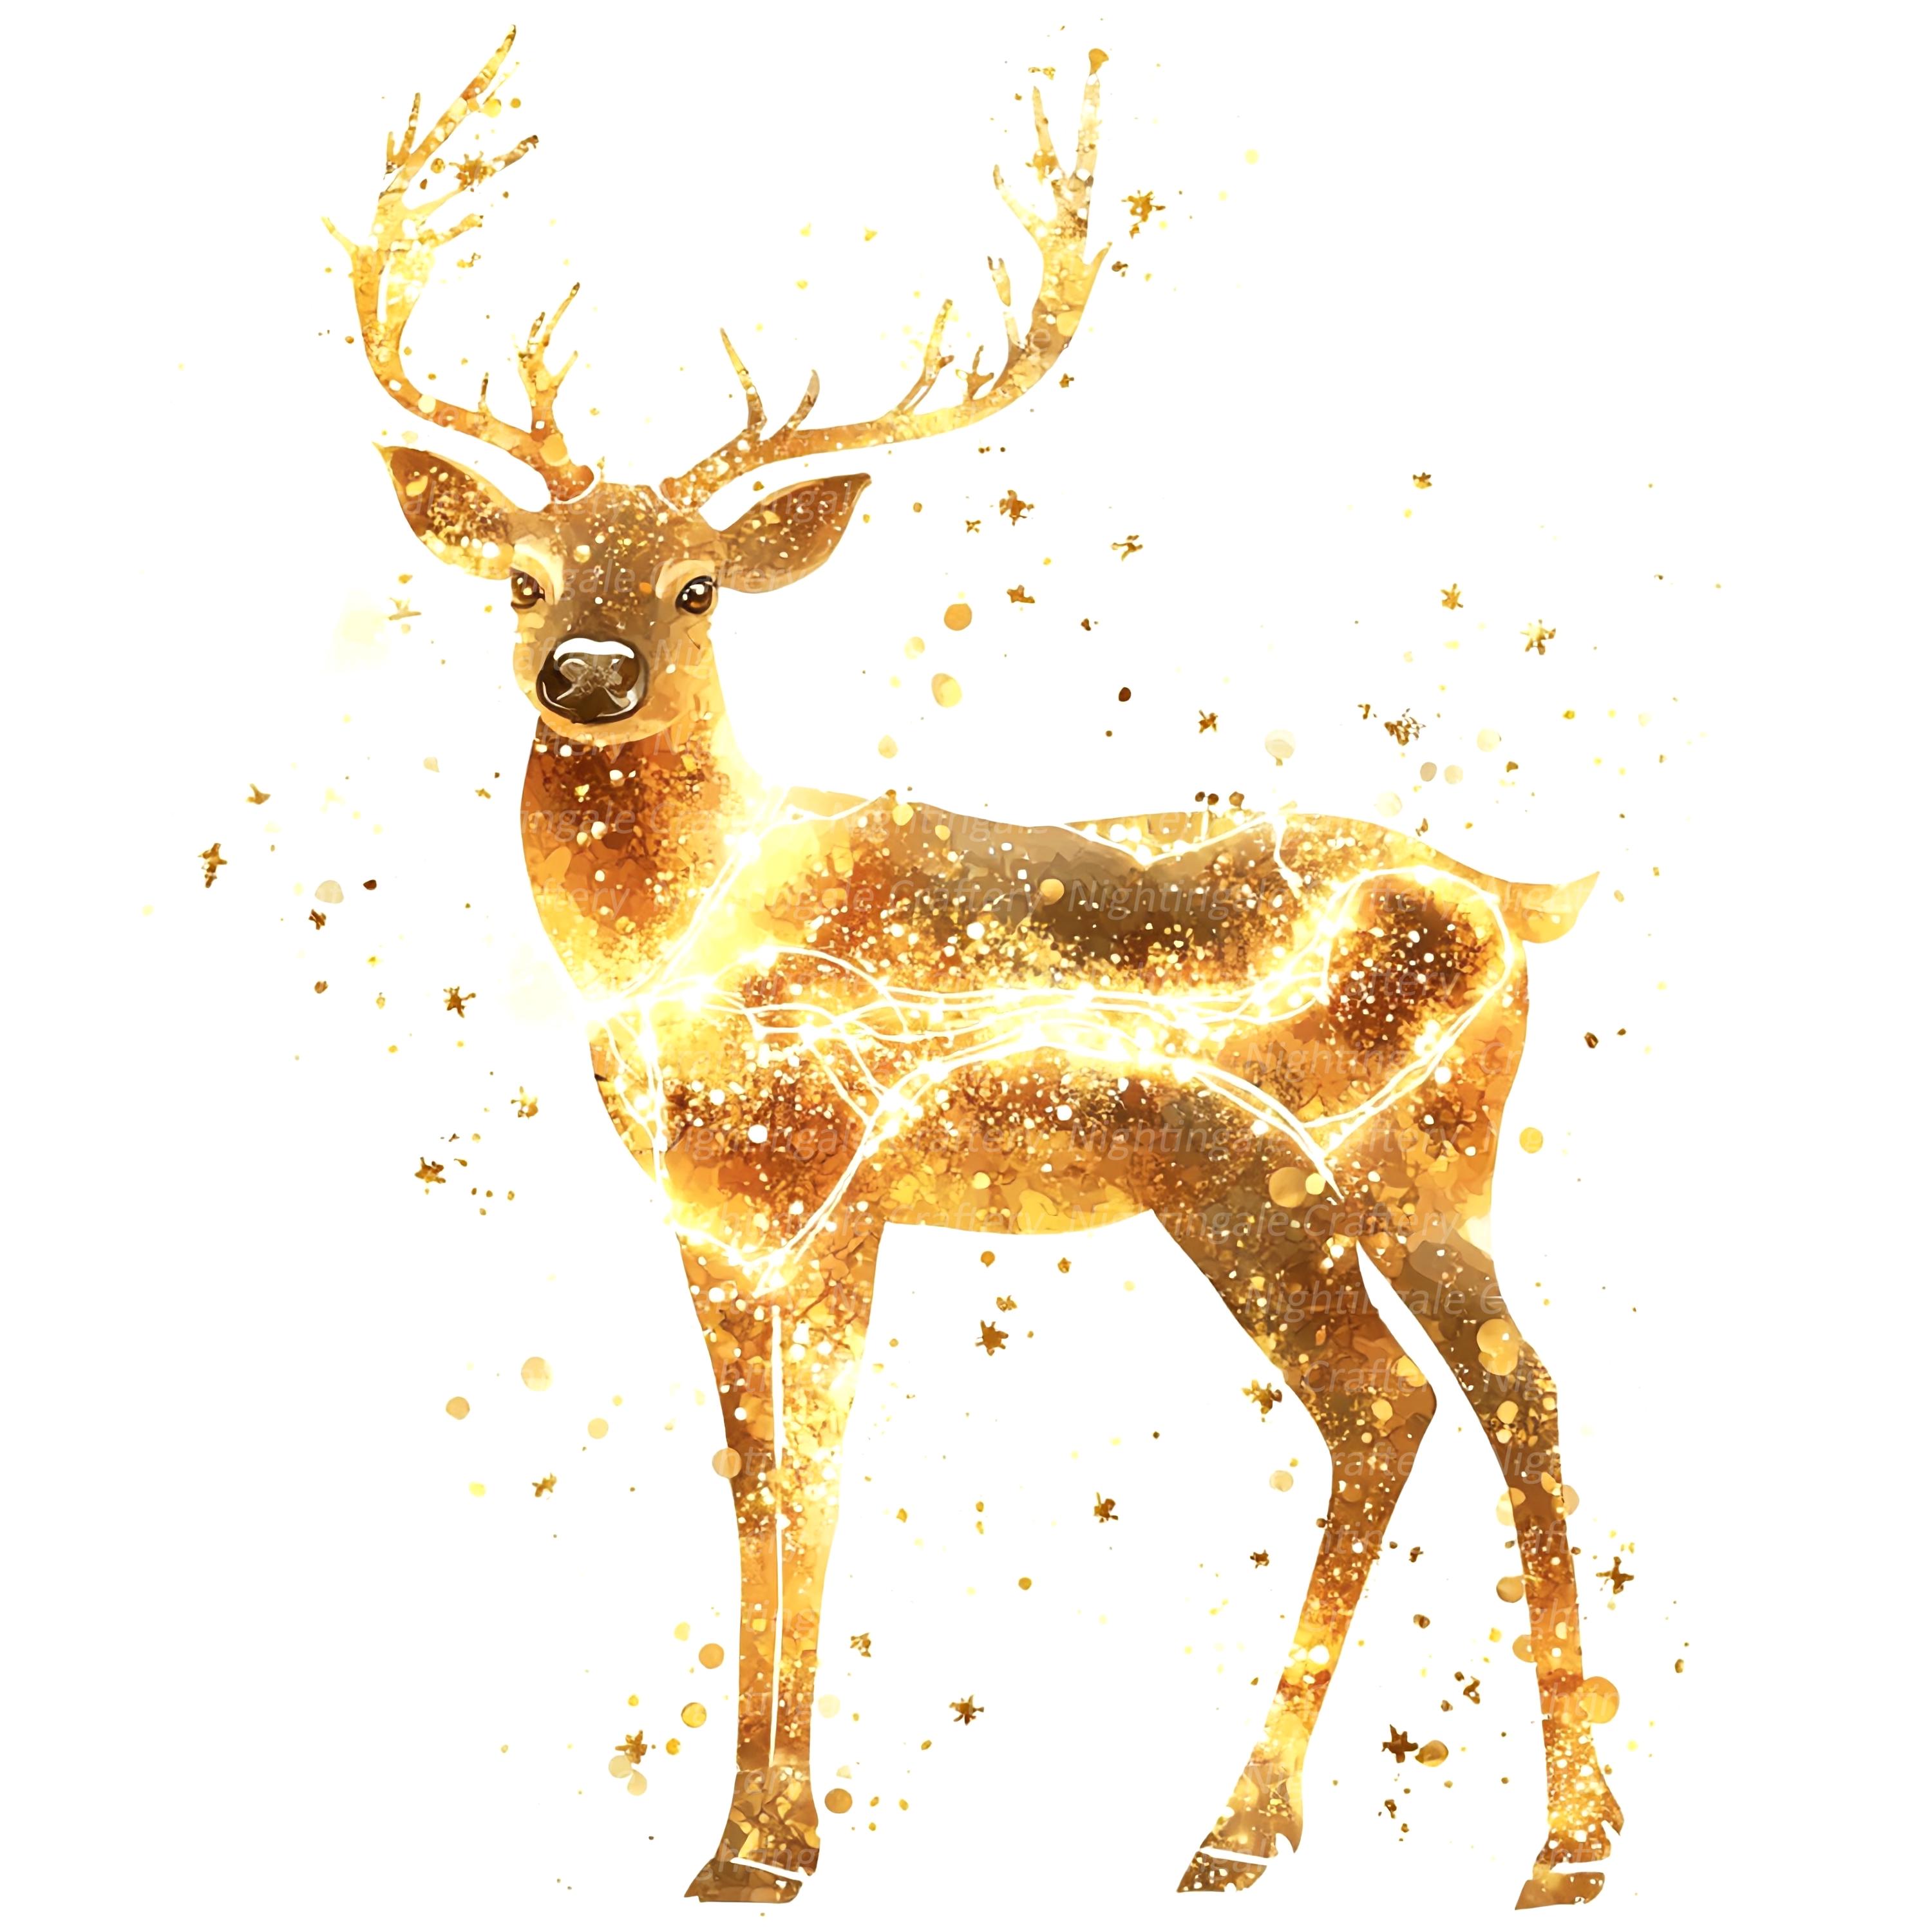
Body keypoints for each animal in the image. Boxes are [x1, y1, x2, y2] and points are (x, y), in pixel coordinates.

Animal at [331, 30, 1623, 1910]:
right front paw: (749, 1837)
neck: (684, 943)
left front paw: (771, 1840)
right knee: (1426, 1397)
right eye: (520, 573)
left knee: (1464, 1389)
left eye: (700, 586)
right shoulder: (709, 1207)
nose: (585, 670)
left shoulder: (838, 1174)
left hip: (1371, 1160)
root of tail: (1507, 897)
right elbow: (750, 1474)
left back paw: (1487, 1840)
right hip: (1297, 1193)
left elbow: (813, 1471)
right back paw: (1329, 1834)